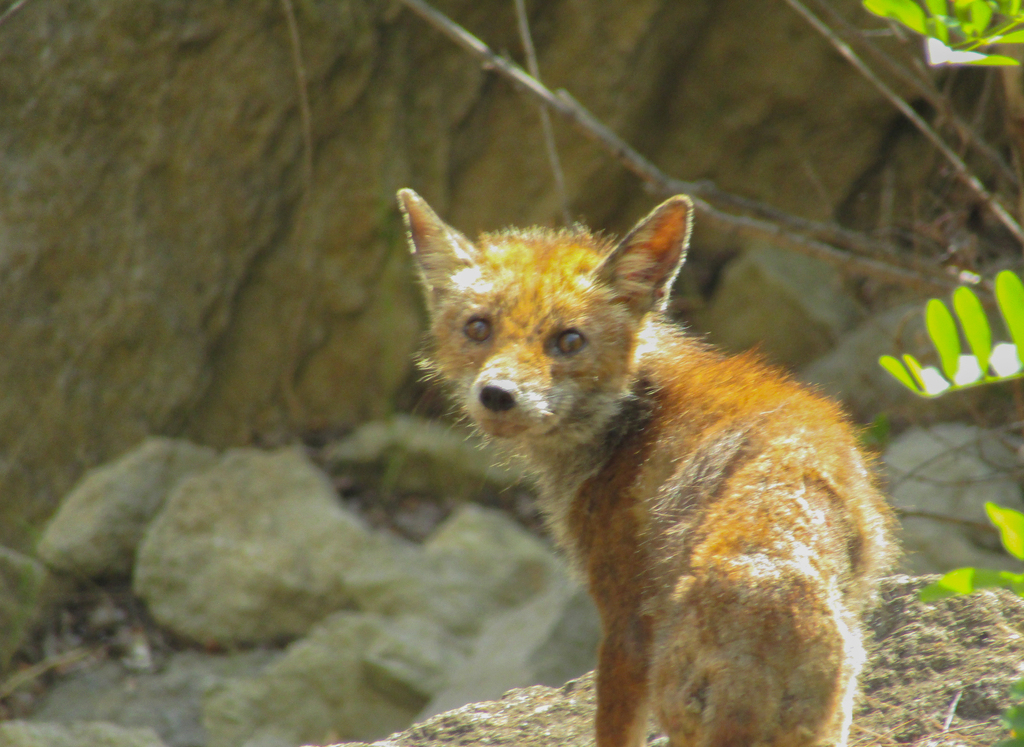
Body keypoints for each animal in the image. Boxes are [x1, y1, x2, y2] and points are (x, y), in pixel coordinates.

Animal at [398, 188, 896, 747]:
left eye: (569, 341)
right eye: (478, 328)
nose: (498, 395)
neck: (636, 409)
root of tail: (764, 592)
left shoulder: (622, 622)